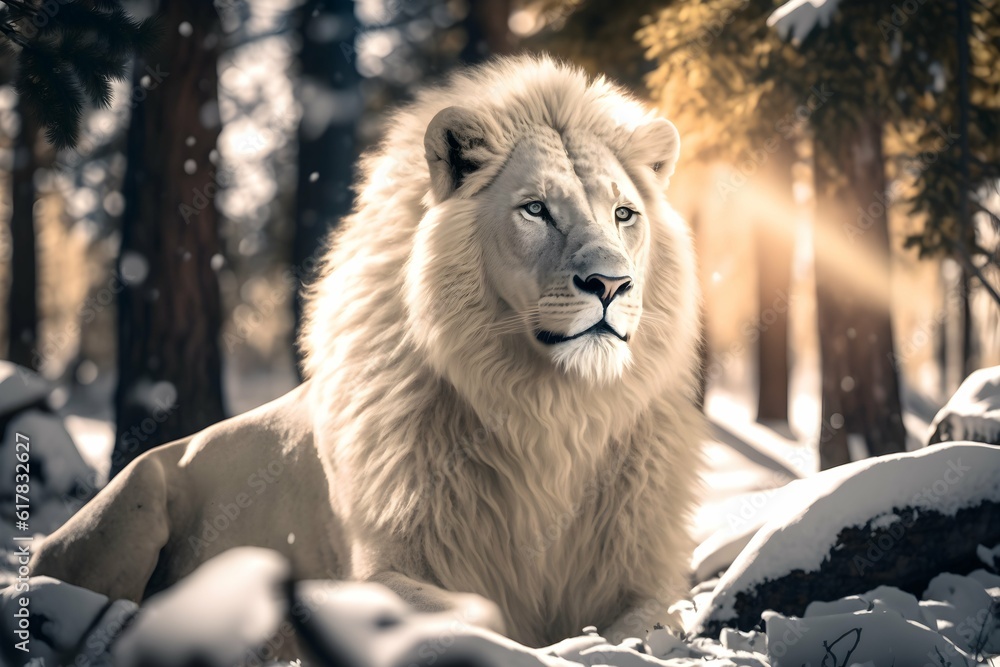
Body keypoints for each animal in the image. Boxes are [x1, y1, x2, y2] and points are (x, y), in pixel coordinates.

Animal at [32, 56, 705, 649]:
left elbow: (655, 622)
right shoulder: (377, 570)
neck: (549, 410)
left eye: (624, 214)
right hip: (135, 496)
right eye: (535, 209)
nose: (611, 285)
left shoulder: (645, 574)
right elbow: (482, 613)